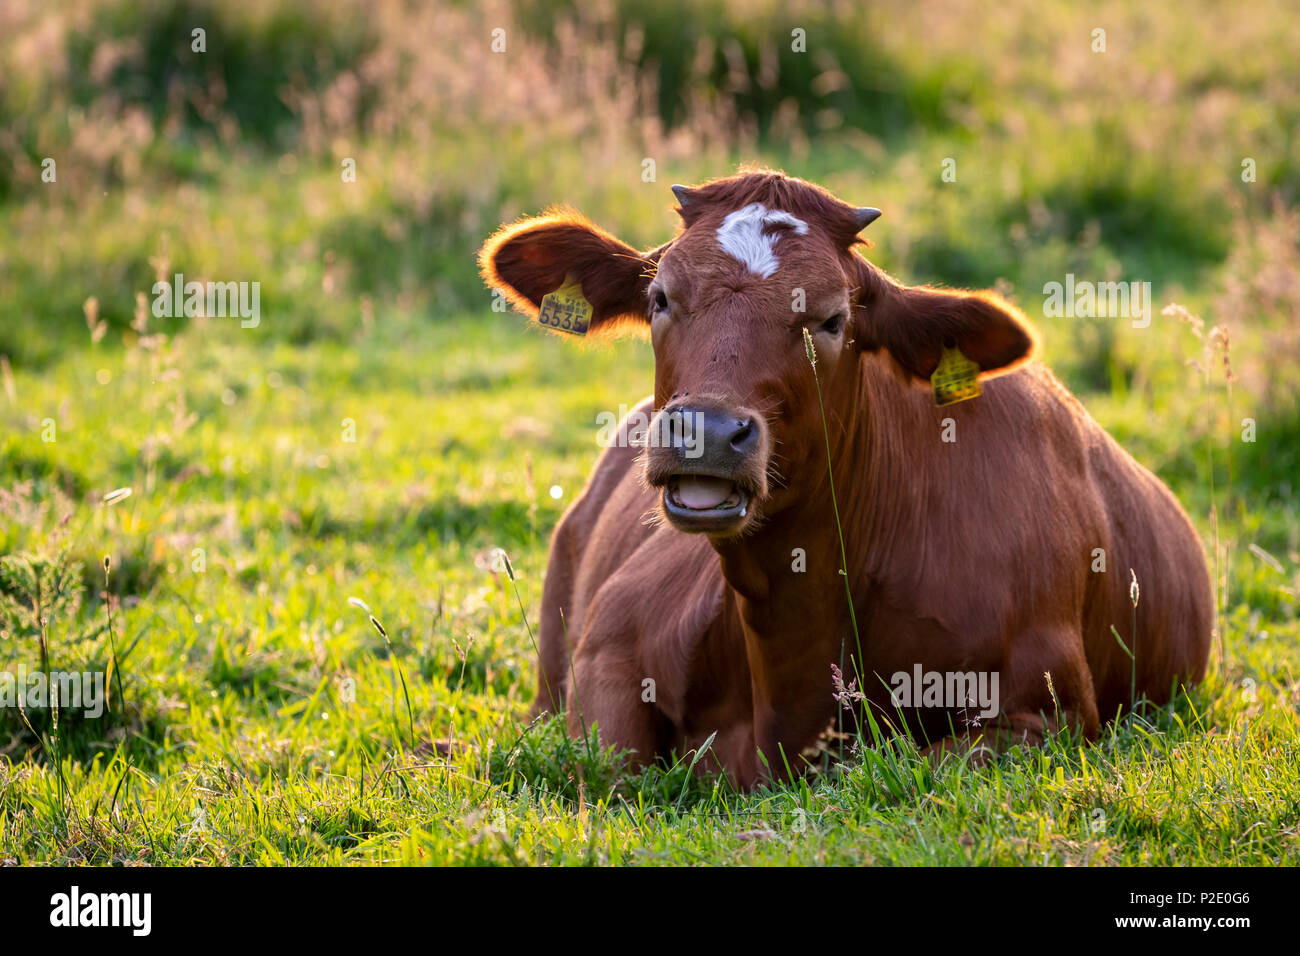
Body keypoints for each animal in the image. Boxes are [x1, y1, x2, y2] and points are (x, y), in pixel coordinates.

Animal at [479, 170, 1213, 788]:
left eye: (832, 319)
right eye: (660, 298)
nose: (706, 431)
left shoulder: (1051, 710)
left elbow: (925, 765)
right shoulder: (609, 648)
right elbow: (609, 767)